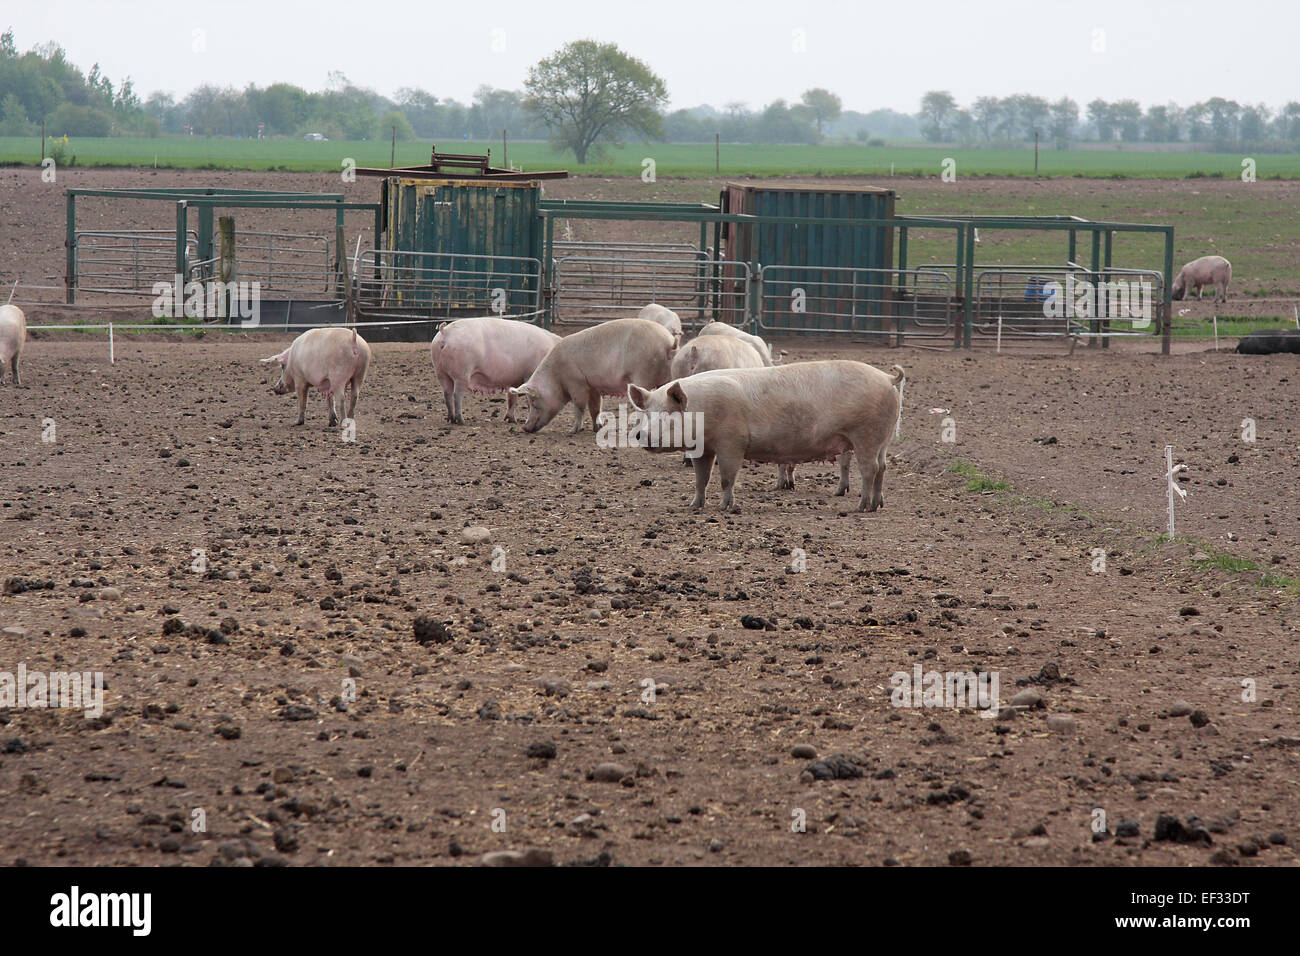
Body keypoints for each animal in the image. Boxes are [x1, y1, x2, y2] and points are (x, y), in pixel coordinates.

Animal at [430, 316, 560, 424]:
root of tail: (445, 331)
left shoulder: (513, 380)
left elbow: (512, 398)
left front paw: (511, 420)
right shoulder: (529, 374)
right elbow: (527, 400)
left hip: (440, 372)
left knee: (447, 394)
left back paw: (450, 419)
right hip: (462, 373)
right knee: (456, 395)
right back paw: (461, 421)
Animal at [509, 318, 676, 434]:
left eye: (533, 402)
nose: (524, 428)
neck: (556, 377)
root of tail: (669, 343)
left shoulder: (576, 383)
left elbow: (579, 406)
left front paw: (572, 431)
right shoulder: (593, 386)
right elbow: (595, 407)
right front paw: (598, 428)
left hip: (642, 375)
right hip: (666, 378)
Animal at [627, 360, 904, 512]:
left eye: (667, 413)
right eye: (646, 412)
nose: (641, 434)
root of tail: (887, 377)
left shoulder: (732, 442)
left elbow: (726, 478)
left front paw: (725, 507)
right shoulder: (703, 448)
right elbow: (700, 479)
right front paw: (694, 506)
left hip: (866, 434)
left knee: (869, 469)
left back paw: (861, 507)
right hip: (883, 437)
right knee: (882, 467)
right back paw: (877, 505)